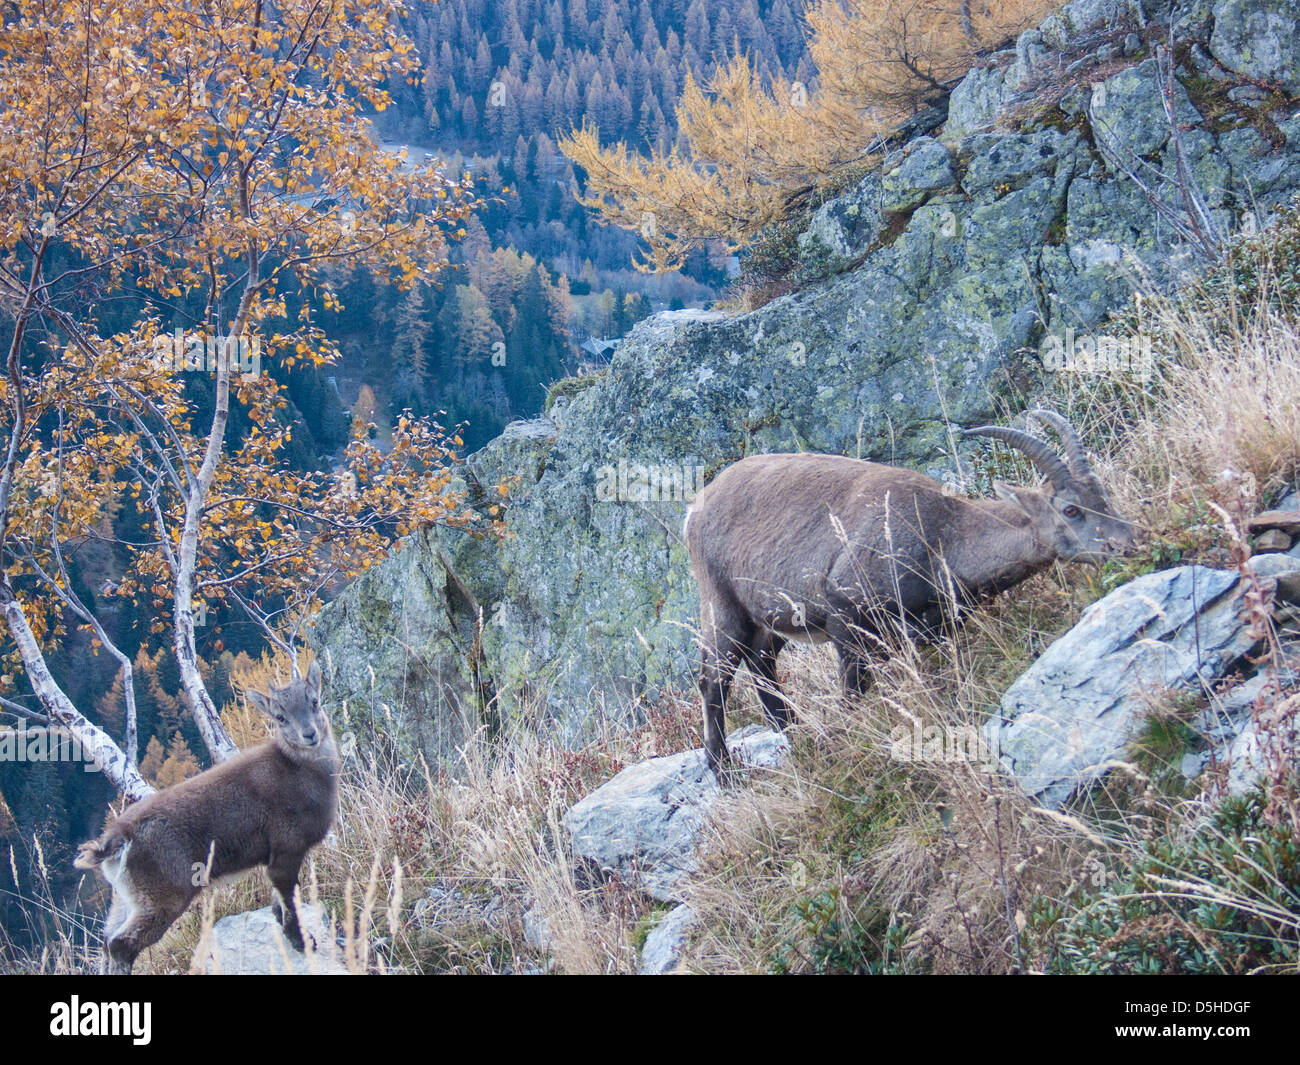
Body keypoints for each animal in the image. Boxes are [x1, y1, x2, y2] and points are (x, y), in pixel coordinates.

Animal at [74, 661, 338, 974]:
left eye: (314, 701)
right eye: (280, 717)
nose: (310, 734)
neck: (299, 770)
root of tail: (119, 837)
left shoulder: (278, 856)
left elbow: (278, 903)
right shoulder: (286, 849)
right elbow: (289, 900)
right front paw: (301, 941)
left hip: (125, 898)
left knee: (107, 940)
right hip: (163, 897)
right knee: (121, 944)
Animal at [684, 410, 1135, 774]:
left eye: (1102, 495)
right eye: (1070, 509)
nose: (1127, 542)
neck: (941, 534)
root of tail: (695, 507)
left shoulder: (925, 627)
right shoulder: (846, 611)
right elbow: (852, 691)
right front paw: (850, 741)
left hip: (769, 619)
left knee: (761, 666)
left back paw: (796, 735)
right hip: (721, 603)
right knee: (714, 680)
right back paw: (724, 771)